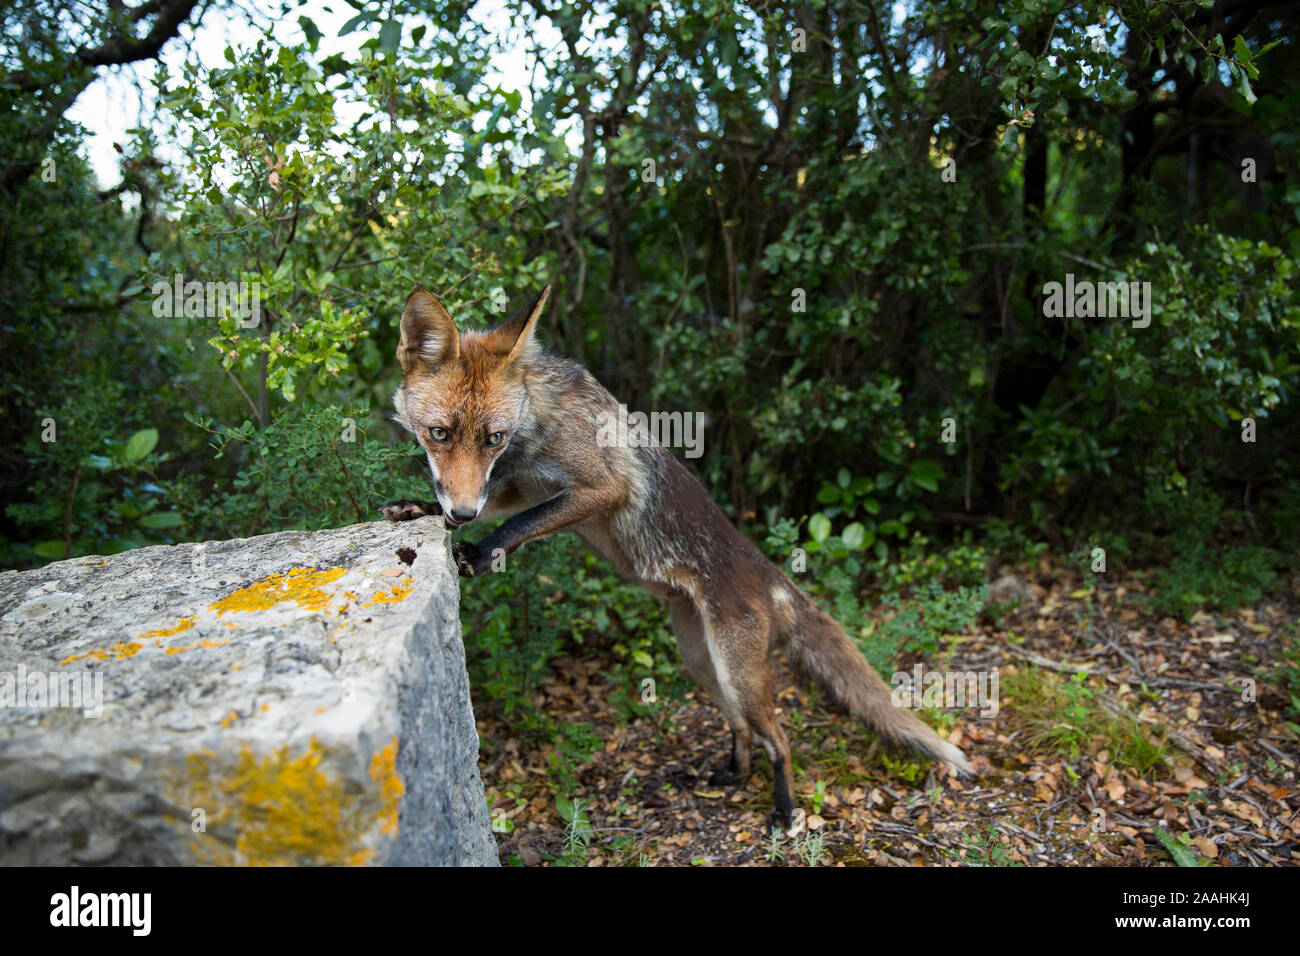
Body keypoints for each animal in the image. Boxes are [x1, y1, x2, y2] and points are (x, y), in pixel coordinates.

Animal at [382, 284, 974, 834]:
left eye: (494, 437)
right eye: (439, 433)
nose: (459, 513)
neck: (533, 426)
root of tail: (769, 572)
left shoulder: (599, 486)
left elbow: (518, 525)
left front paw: (480, 553)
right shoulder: (516, 484)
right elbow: (485, 505)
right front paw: (424, 509)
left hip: (737, 670)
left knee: (779, 737)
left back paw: (785, 811)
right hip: (700, 659)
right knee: (742, 728)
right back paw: (732, 773)